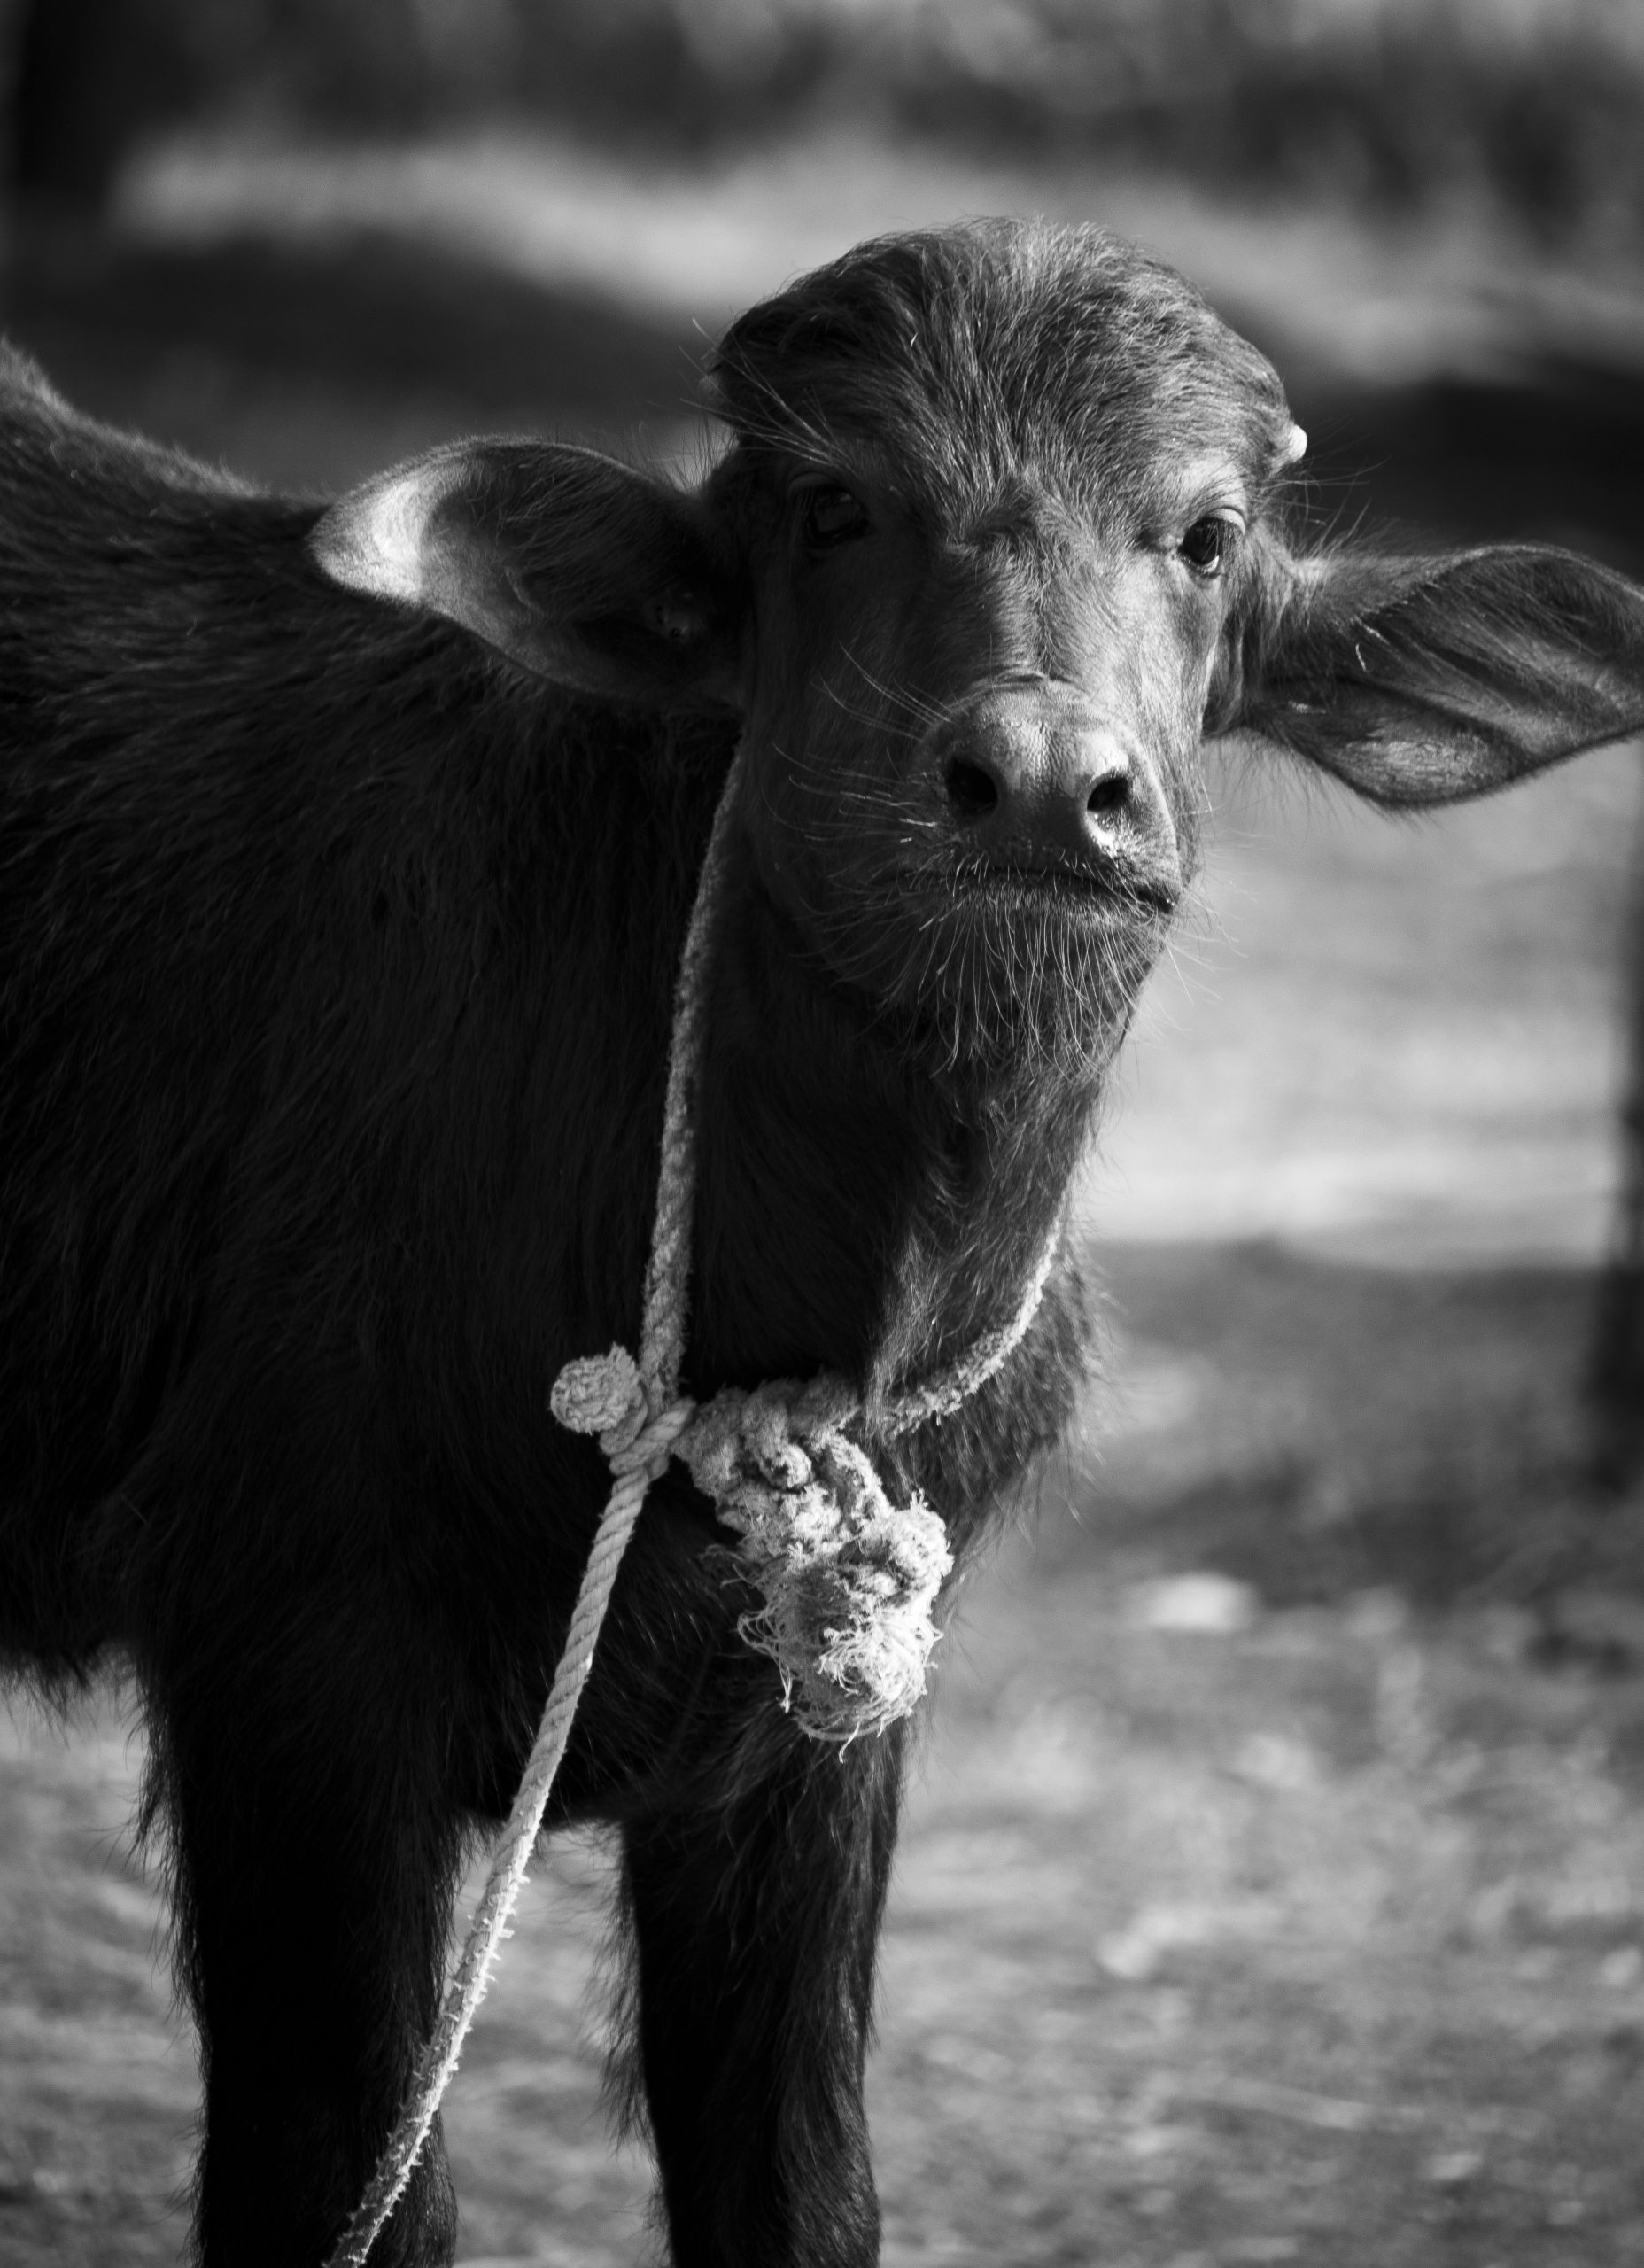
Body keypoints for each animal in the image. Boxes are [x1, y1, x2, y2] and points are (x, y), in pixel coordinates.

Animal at [2, 218, 1642, 2268]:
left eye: (1201, 536)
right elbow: (353, 2187)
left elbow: (799, 2184)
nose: (1044, 784)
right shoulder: (290, 1679)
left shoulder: (807, 1757)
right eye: (835, 503)